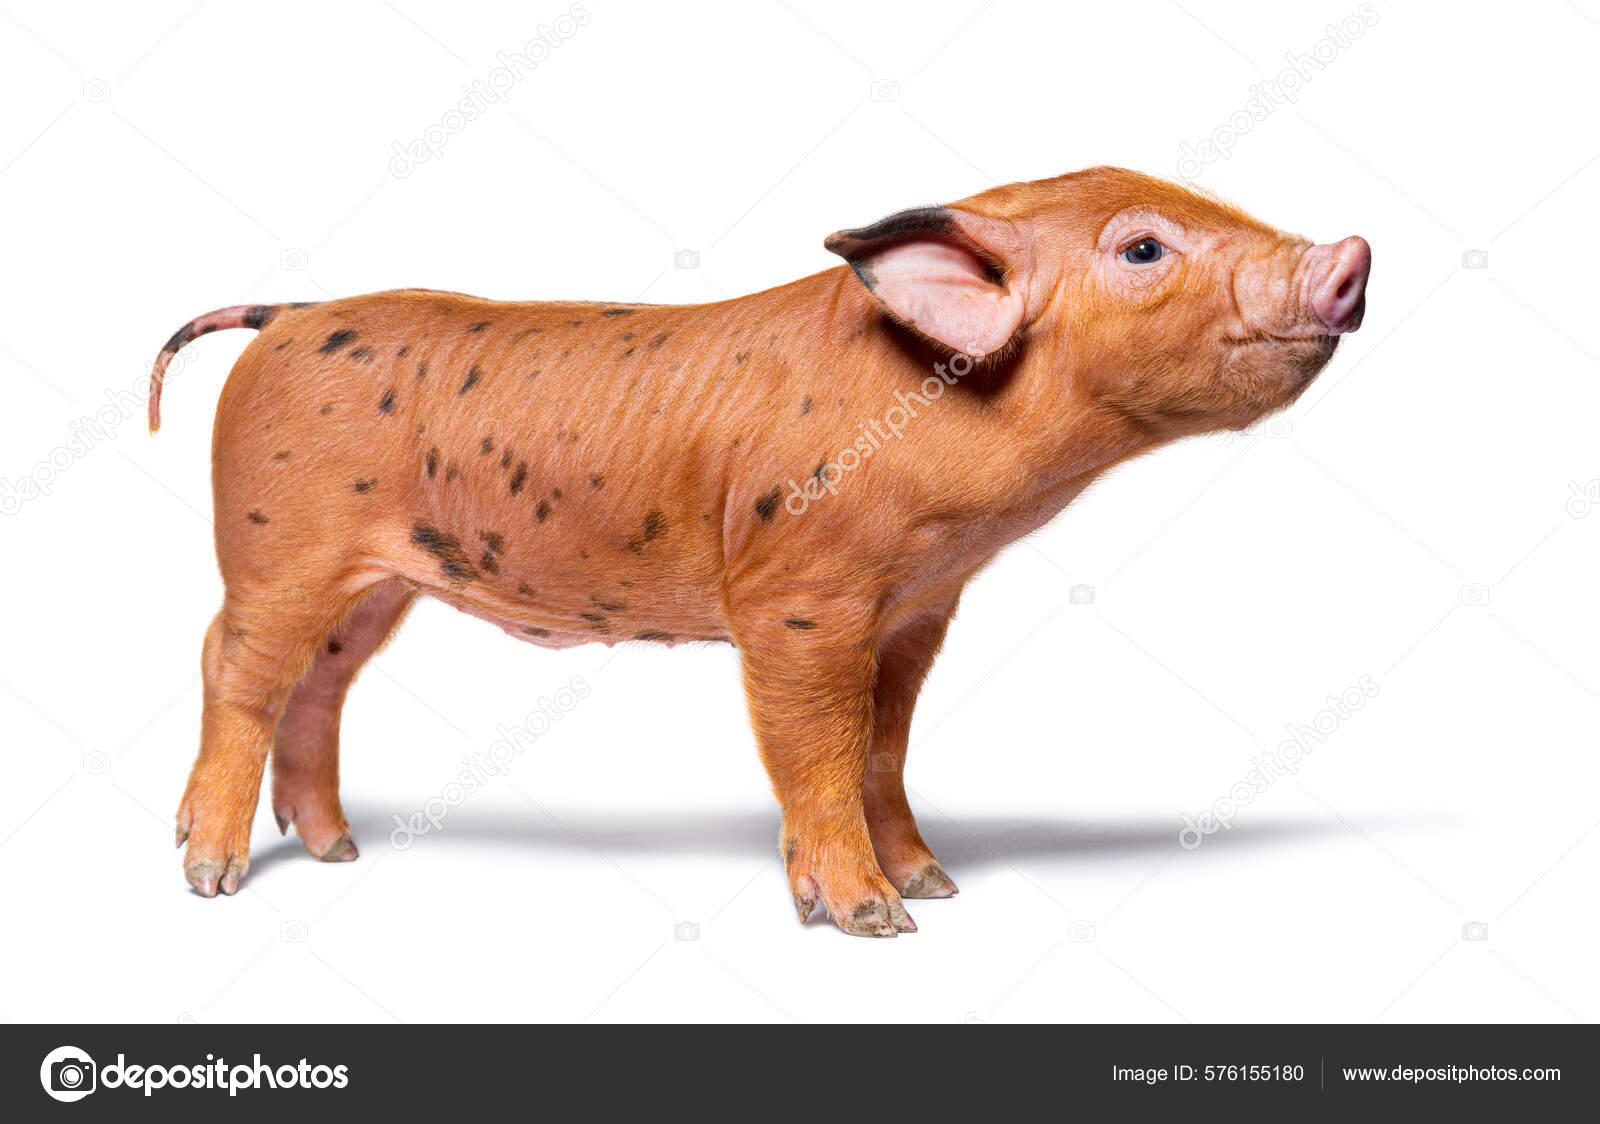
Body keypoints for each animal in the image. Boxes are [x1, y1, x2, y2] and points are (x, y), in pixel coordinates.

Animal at [148, 166, 1369, 936]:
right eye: (1143, 248)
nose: (1351, 251)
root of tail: (287, 316)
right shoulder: (798, 600)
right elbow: (815, 751)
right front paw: (876, 920)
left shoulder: (917, 608)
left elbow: (882, 745)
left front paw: (938, 885)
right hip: (277, 546)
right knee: (231, 667)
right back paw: (209, 877)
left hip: (380, 582)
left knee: (320, 682)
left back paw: (338, 853)